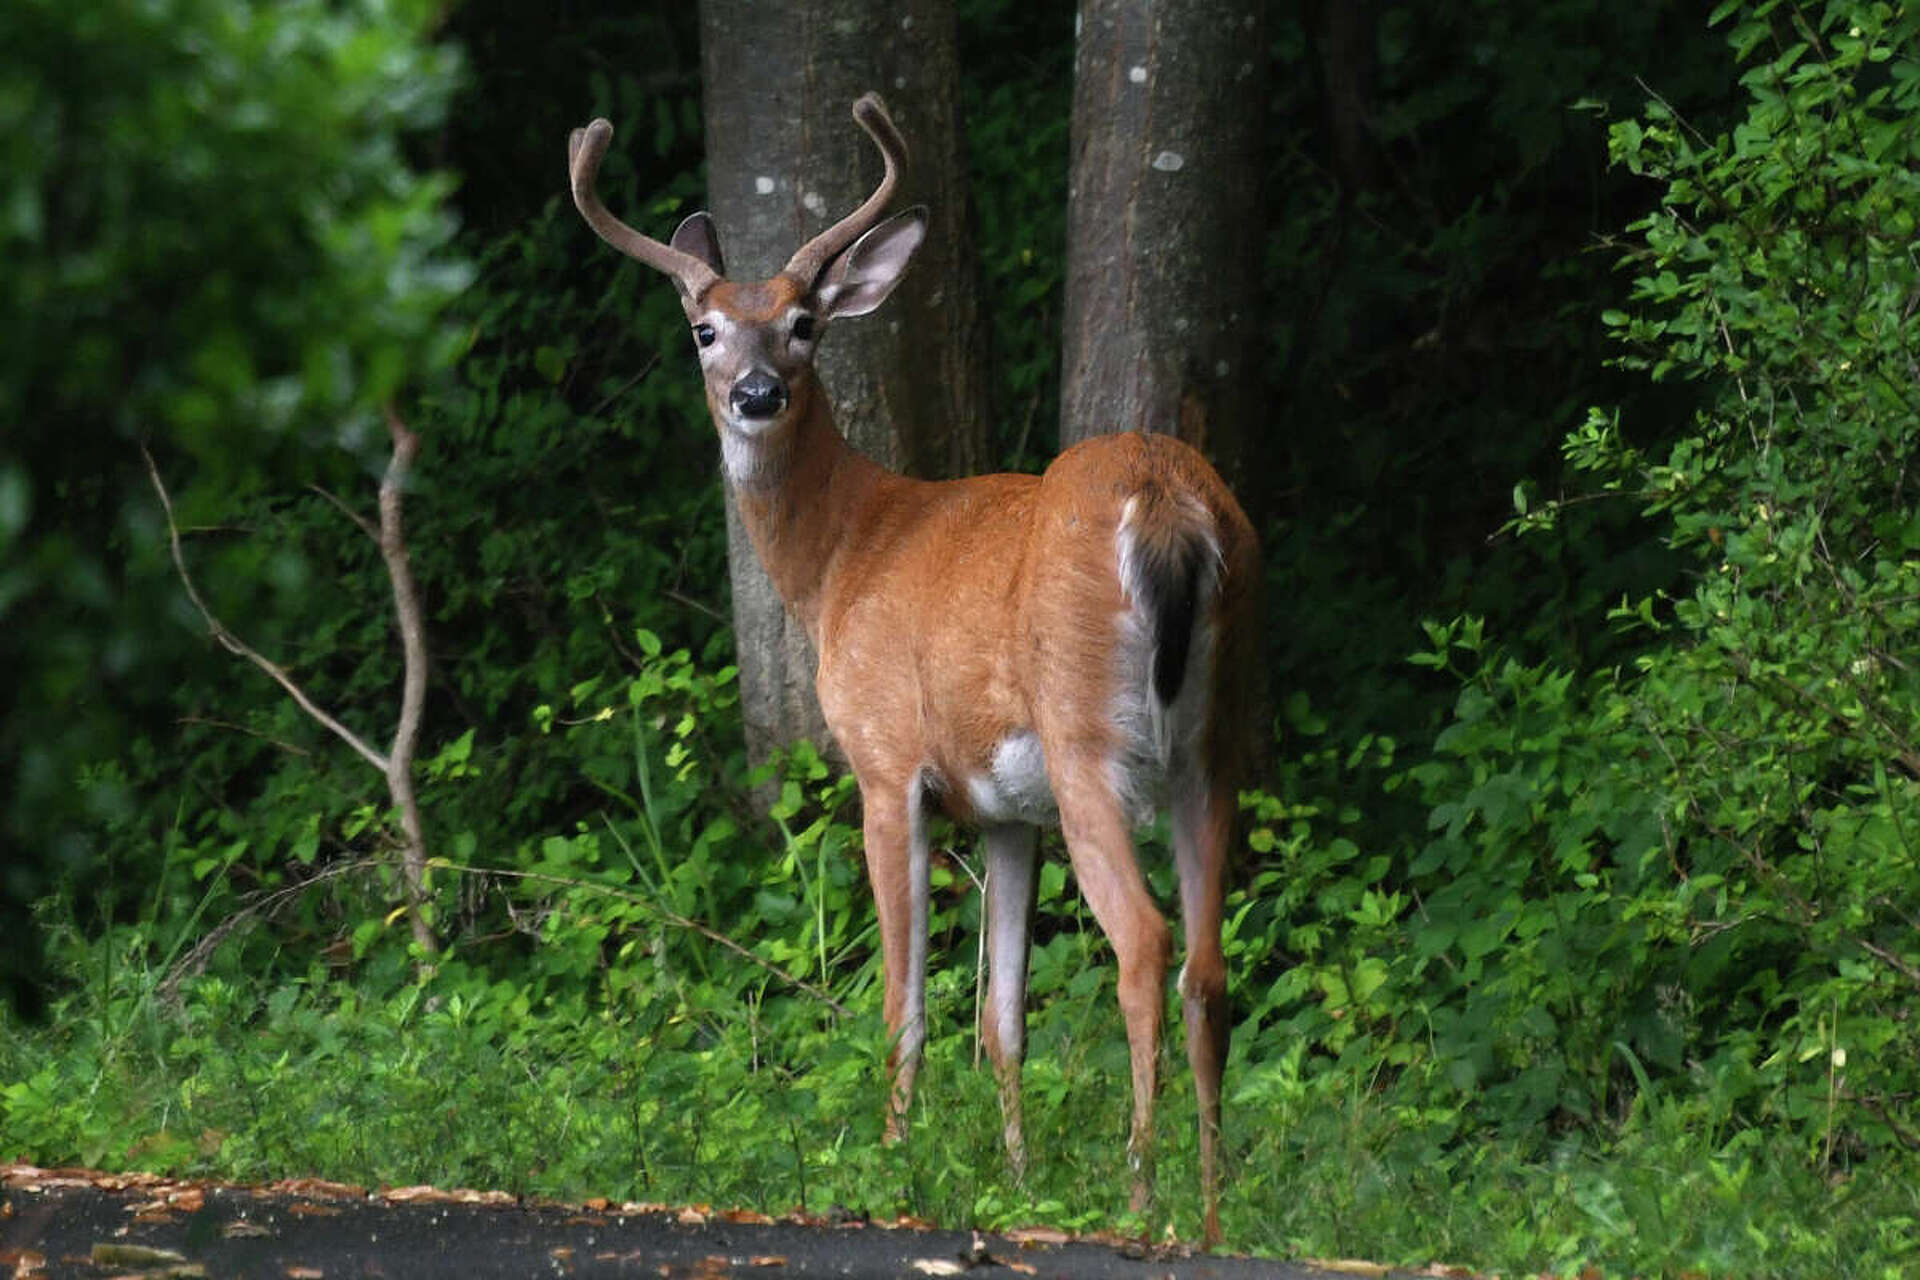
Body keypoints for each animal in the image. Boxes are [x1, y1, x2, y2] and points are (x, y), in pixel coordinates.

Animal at [567, 92, 1257, 1247]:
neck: (843, 554)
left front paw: (892, 1162)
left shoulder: (887, 762)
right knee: (1208, 962)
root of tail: (1169, 505)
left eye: (803, 324)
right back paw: (1210, 1211)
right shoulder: (1008, 808)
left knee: (1145, 943)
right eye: (705, 329)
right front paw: (1017, 1176)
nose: (756, 393)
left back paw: (1140, 1193)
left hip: (1089, 737)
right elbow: (1002, 1014)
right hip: (1215, 737)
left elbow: (906, 1002)